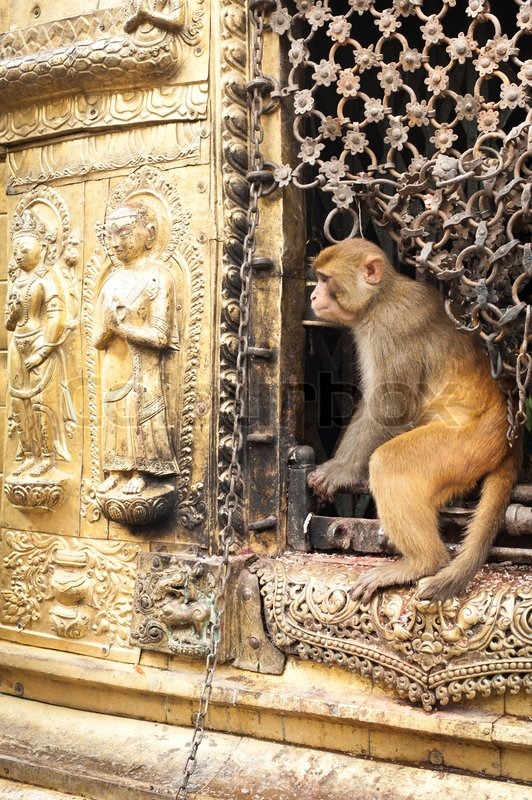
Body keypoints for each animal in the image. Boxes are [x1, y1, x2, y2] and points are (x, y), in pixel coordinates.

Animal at [307, 237, 519, 603]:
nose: (313, 296)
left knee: (391, 461)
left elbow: (391, 406)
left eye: (325, 279)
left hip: (468, 444)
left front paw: (341, 471)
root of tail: (510, 438)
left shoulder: (389, 327)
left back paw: (423, 562)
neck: (379, 299)